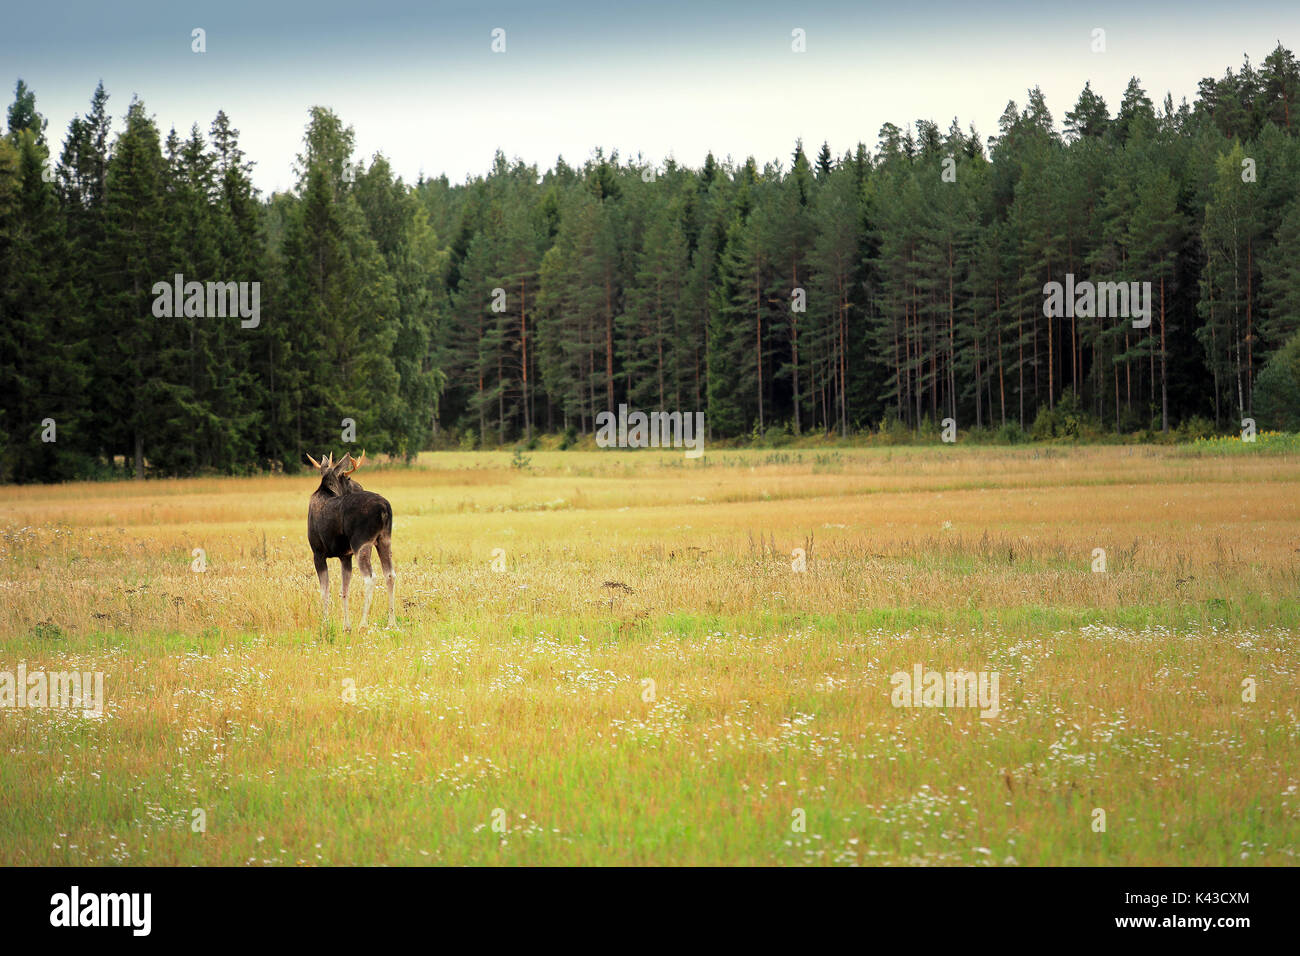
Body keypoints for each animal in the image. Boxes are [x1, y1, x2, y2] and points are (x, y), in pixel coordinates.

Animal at [306, 451, 396, 630]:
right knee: (390, 574)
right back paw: (392, 622)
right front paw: (346, 626)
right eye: (348, 478)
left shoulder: (318, 552)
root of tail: (384, 508)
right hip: (384, 539)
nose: (360, 486)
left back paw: (363, 624)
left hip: (361, 543)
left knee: (370, 577)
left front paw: (325, 623)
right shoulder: (345, 555)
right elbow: (344, 590)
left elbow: (325, 591)